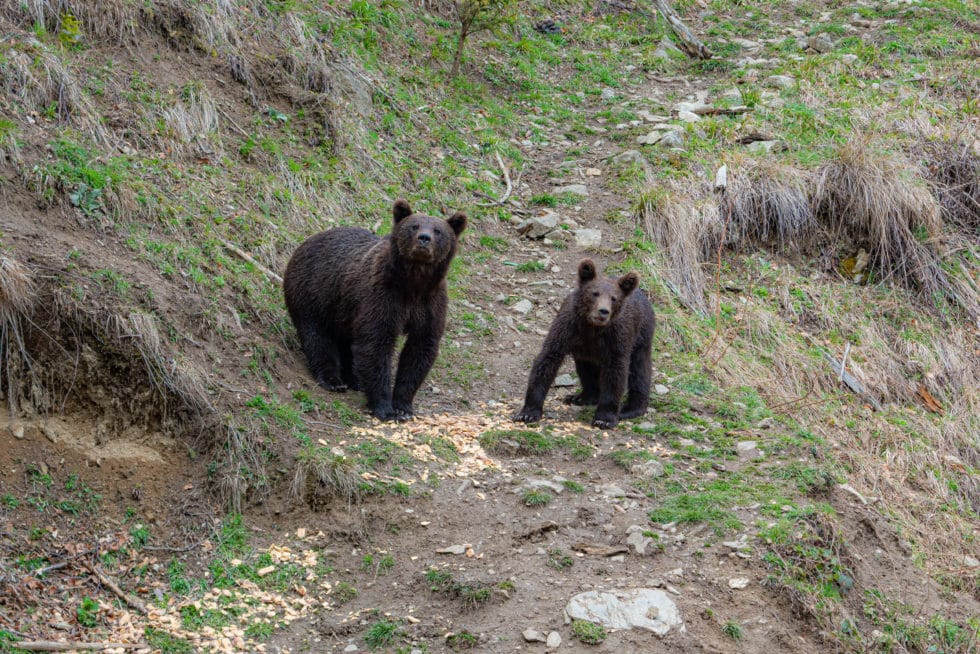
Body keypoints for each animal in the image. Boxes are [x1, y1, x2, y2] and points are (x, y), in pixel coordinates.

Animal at [283, 199, 466, 422]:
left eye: (438, 230)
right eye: (414, 226)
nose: (424, 239)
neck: (413, 284)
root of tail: (305, 242)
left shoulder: (430, 304)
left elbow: (420, 348)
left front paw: (403, 406)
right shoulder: (382, 297)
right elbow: (376, 344)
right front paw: (384, 407)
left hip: (344, 308)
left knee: (346, 341)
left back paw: (353, 379)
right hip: (312, 293)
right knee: (317, 336)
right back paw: (333, 379)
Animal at [513, 259, 655, 429]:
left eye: (614, 298)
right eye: (595, 293)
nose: (603, 311)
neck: (592, 328)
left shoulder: (617, 338)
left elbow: (616, 373)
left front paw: (604, 418)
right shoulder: (567, 329)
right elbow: (547, 360)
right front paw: (528, 412)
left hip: (641, 335)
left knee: (640, 369)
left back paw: (631, 409)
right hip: (585, 352)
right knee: (586, 369)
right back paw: (582, 397)